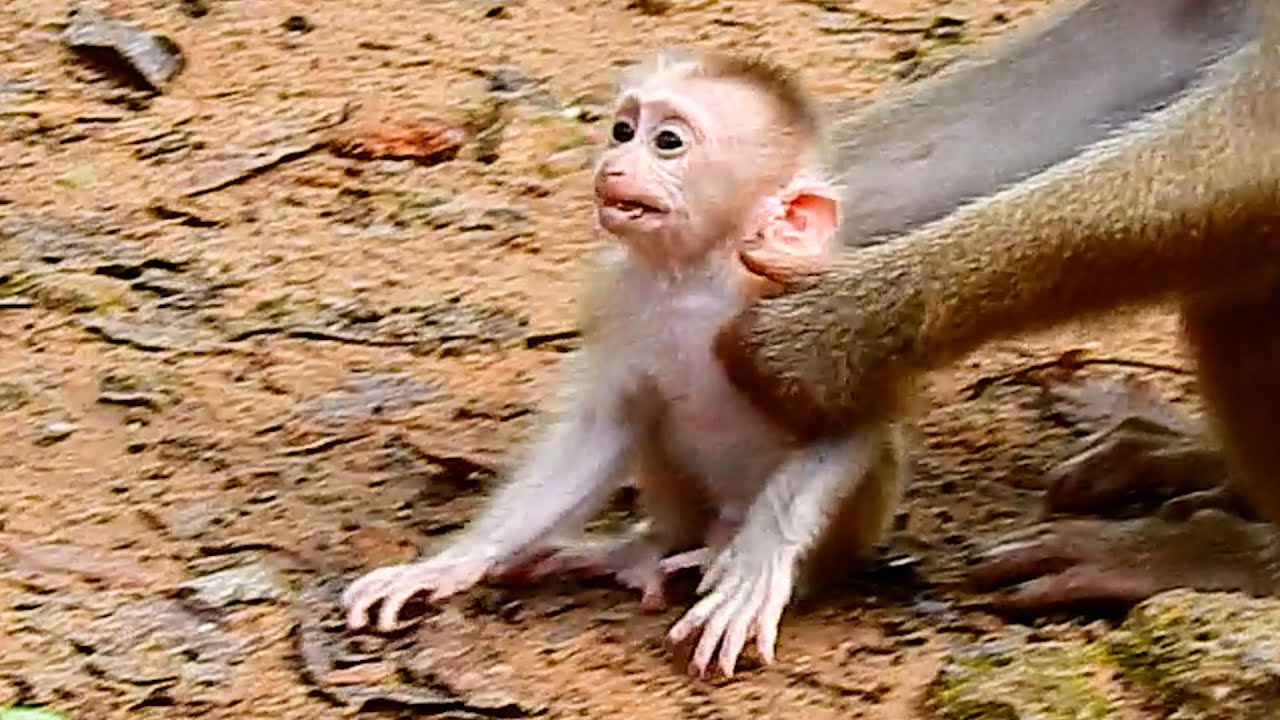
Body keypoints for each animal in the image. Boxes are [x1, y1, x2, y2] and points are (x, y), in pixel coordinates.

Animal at [343, 51, 909, 679]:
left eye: (667, 142)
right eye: (622, 130)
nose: (613, 165)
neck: (695, 281)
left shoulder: (799, 294)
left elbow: (849, 419)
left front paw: (757, 563)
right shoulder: (616, 294)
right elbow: (599, 429)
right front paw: (453, 563)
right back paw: (633, 552)